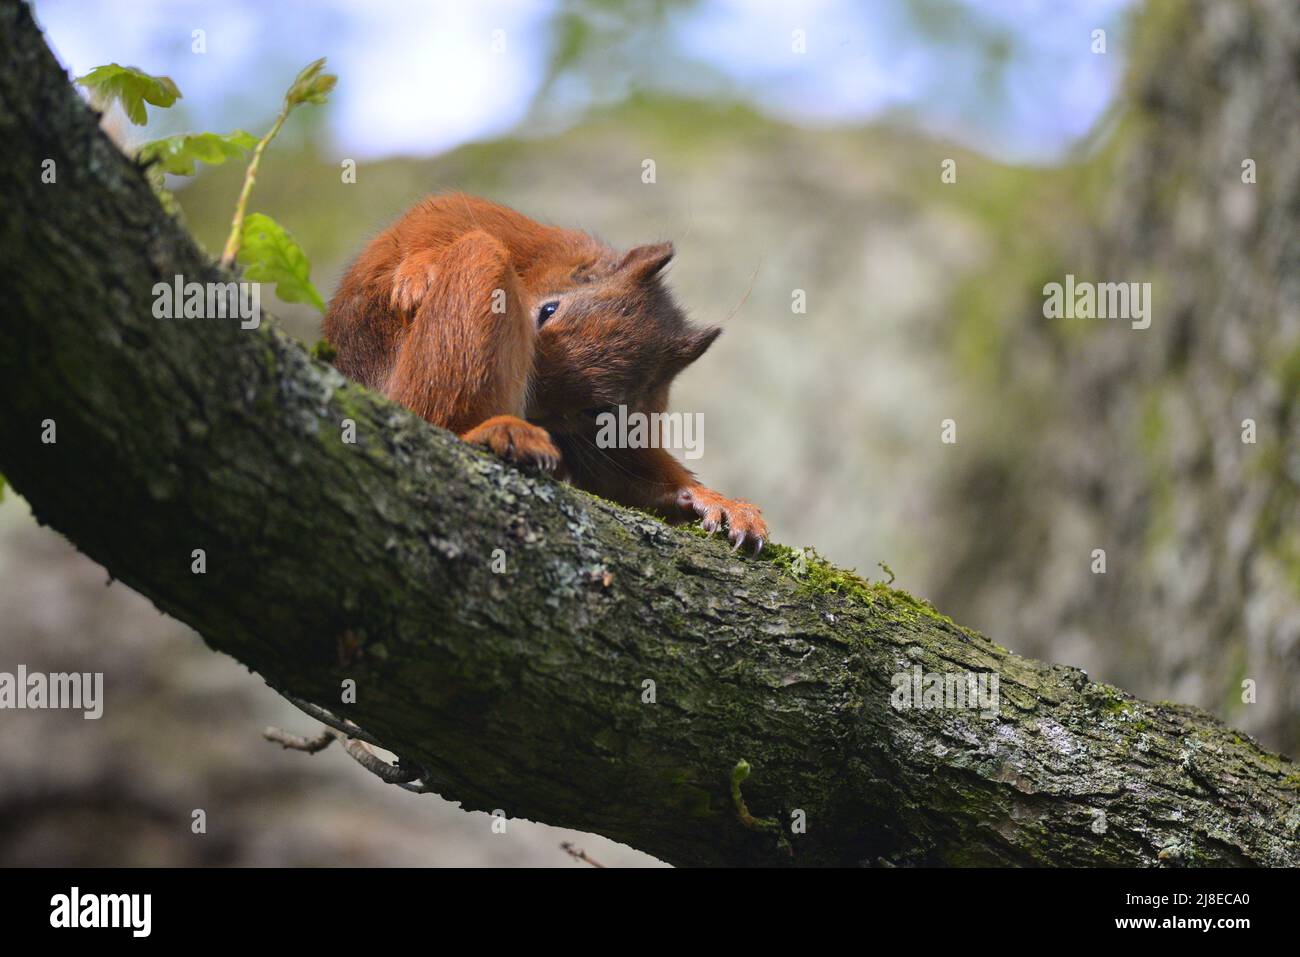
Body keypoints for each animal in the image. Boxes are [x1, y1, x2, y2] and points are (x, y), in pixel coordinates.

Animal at [323, 192, 766, 552]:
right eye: (548, 311)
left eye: (599, 410)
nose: (532, 406)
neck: (544, 268)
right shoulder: (516, 231)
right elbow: (424, 223)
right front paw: (418, 270)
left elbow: (617, 470)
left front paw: (720, 503)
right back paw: (493, 430)